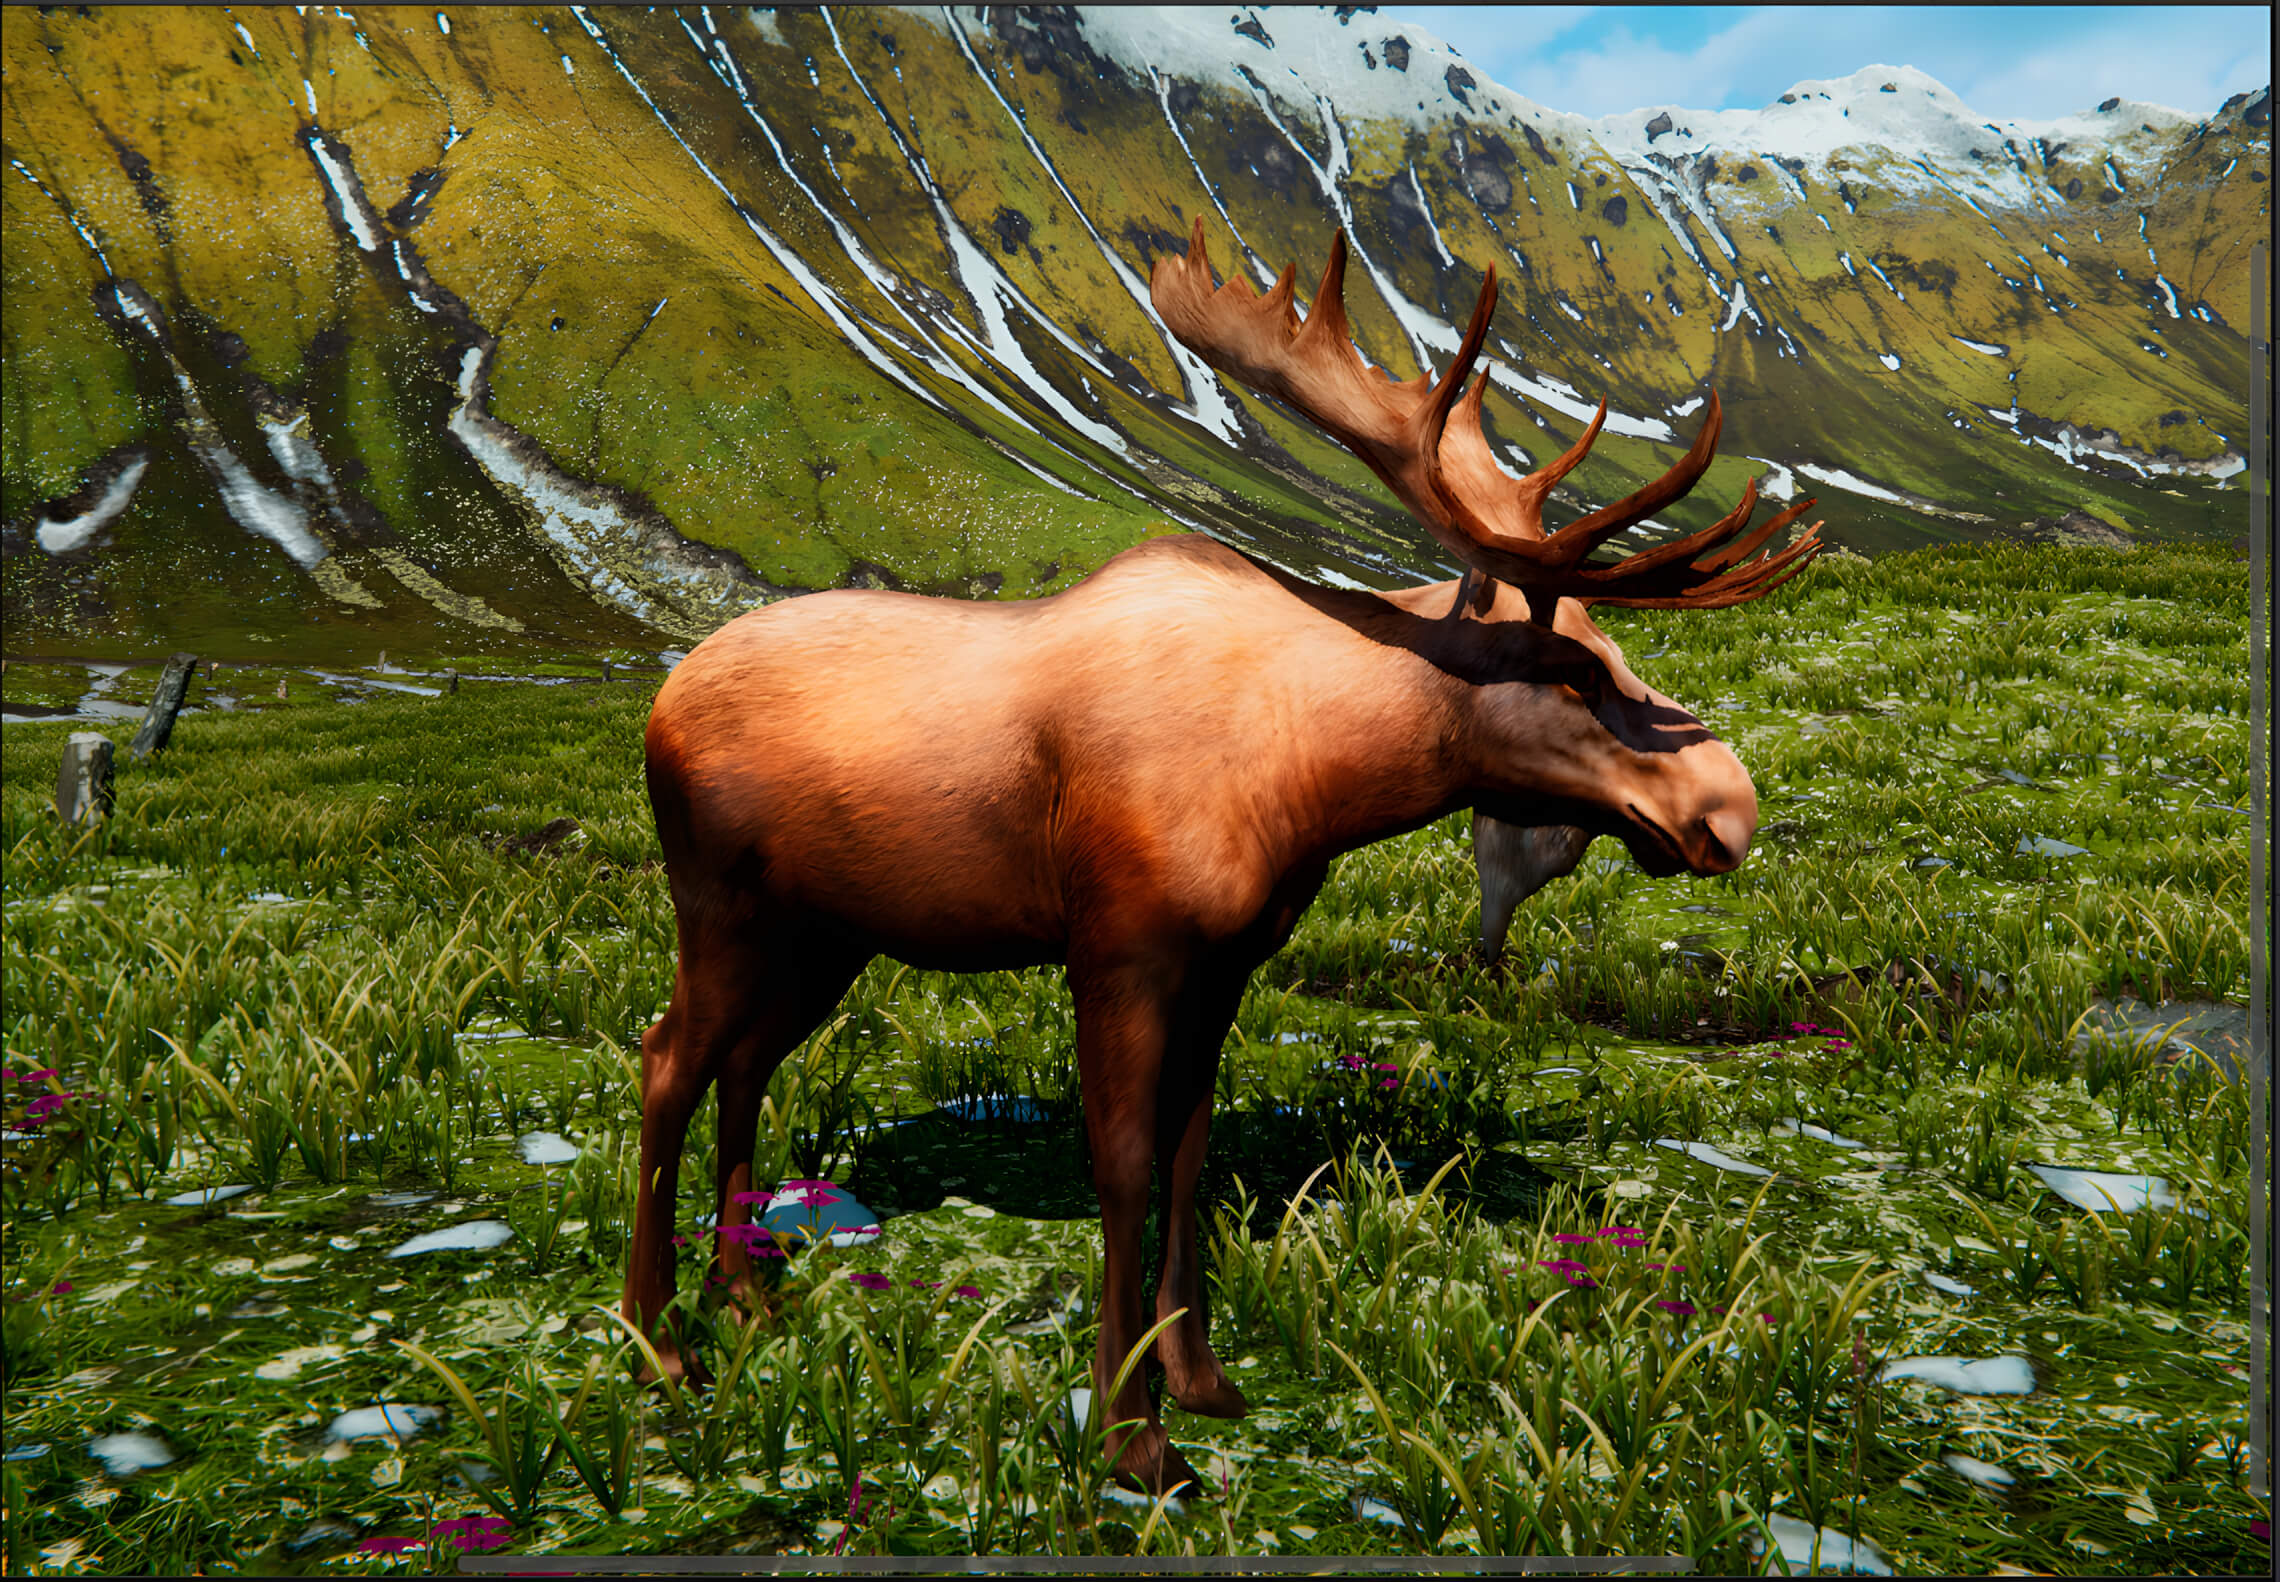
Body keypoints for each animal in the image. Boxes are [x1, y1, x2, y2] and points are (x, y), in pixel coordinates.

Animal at [624, 218, 1823, 1496]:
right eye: (1573, 672)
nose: (1728, 807)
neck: (1315, 776)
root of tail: (664, 698)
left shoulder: (1228, 963)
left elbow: (1191, 1151)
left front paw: (1196, 1376)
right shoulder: (1118, 949)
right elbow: (1123, 1161)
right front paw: (1131, 1432)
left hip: (826, 936)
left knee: (746, 1066)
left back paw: (746, 1293)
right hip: (721, 908)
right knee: (668, 1059)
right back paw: (660, 1339)